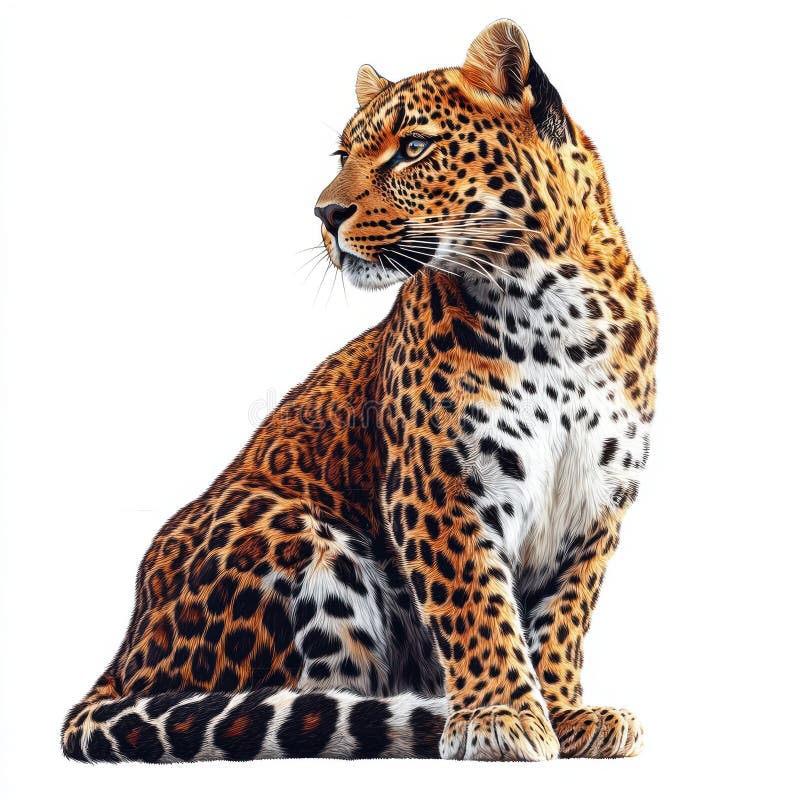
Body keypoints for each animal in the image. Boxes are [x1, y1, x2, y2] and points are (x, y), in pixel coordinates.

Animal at [62, 19, 657, 763]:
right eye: (344, 154)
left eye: (413, 148)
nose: (325, 211)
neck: (553, 303)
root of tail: (122, 654)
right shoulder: (438, 483)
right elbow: (476, 604)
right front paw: (499, 717)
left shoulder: (596, 501)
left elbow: (564, 619)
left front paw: (565, 714)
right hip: (296, 531)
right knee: (286, 700)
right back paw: (416, 715)